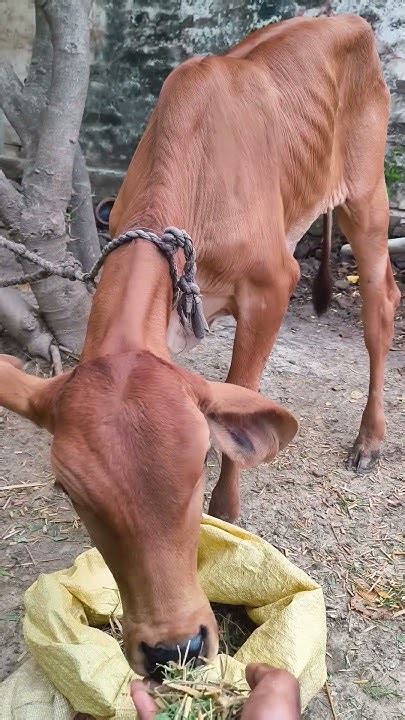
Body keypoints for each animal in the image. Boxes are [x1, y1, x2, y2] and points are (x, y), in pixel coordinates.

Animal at [0, 14, 400, 678]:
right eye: (73, 494)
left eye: (192, 480)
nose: (174, 649)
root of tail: (346, 20)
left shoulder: (273, 287)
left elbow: (241, 396)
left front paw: (229, 516)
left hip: (367, 194)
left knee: (381, 305)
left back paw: (369, 439)